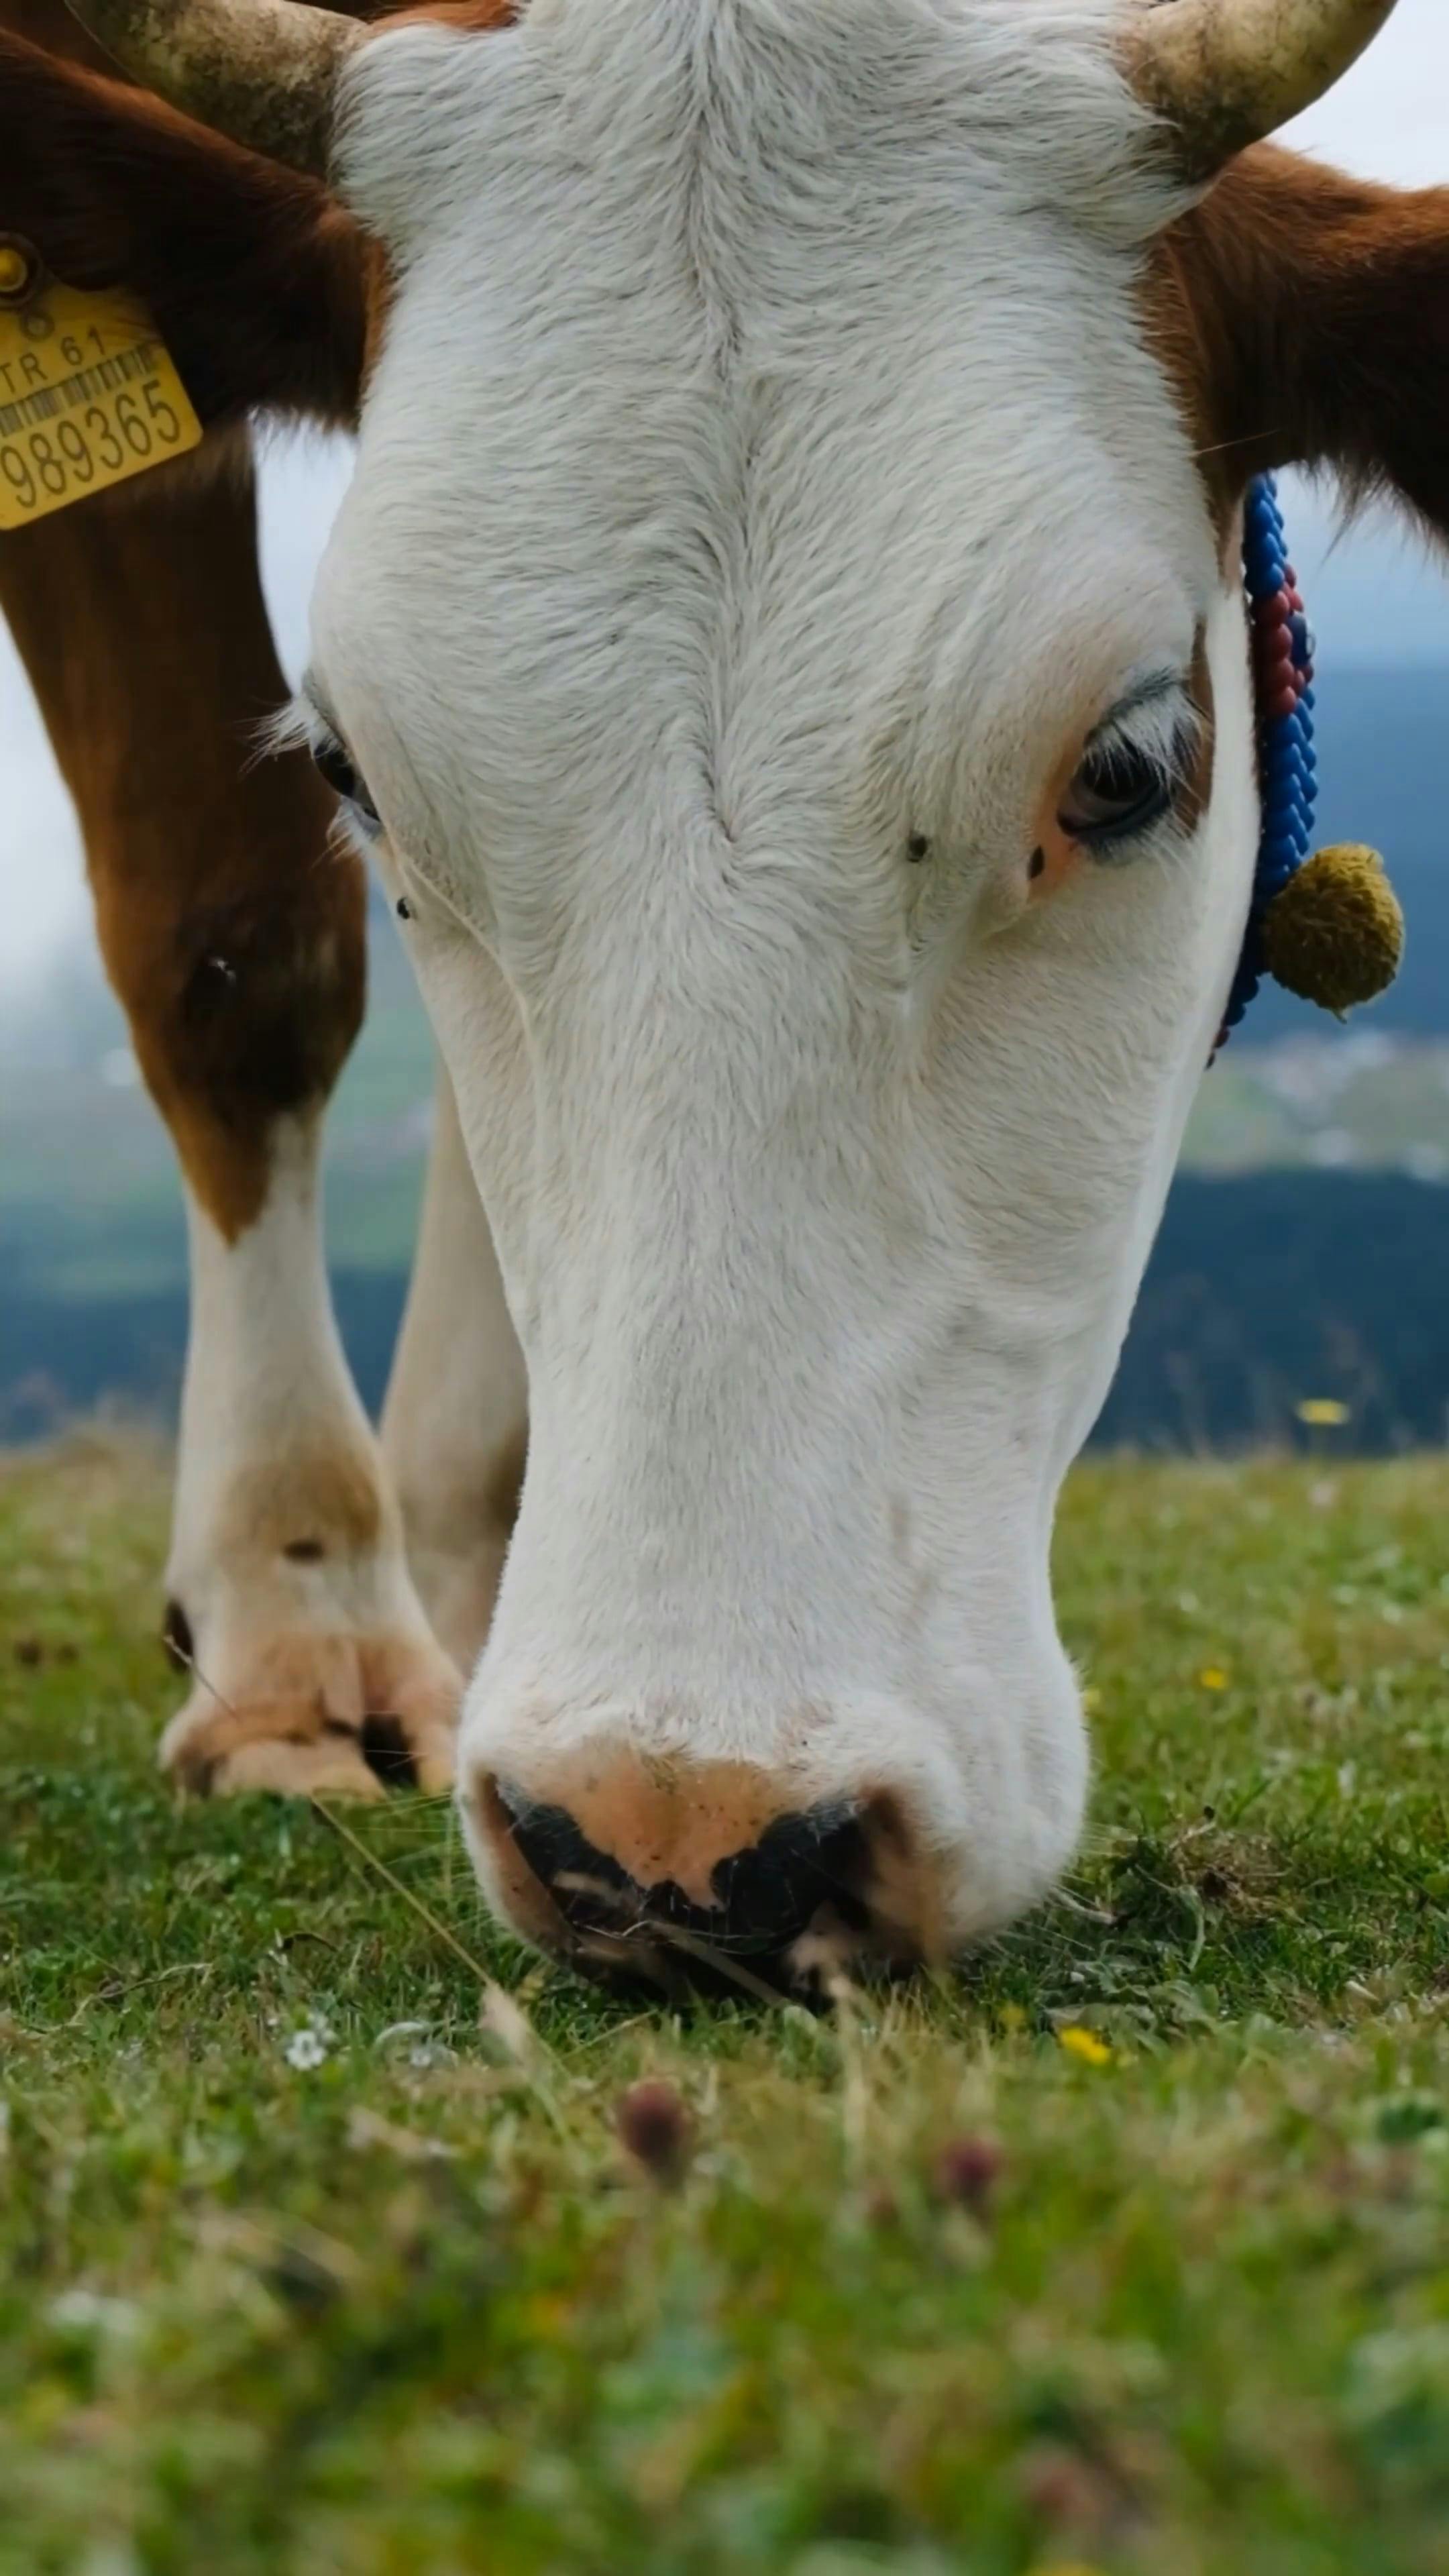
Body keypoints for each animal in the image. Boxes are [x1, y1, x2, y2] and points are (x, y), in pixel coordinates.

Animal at [3, 0, 1443, 1988]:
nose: (669, 1834)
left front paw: (464, 1538)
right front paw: (299, 1628)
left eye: (1126, 766)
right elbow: (230, 937)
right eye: (357, 775)